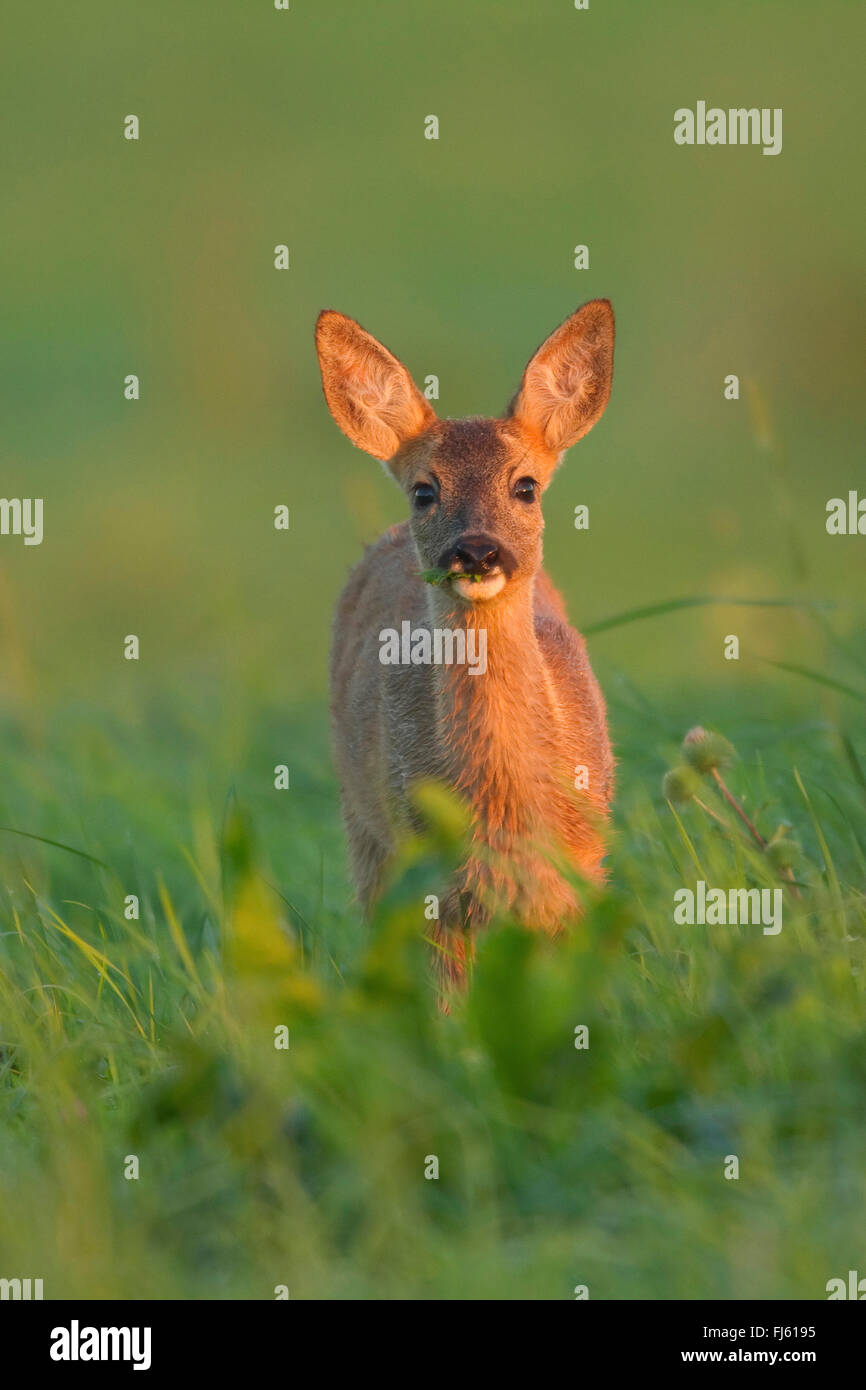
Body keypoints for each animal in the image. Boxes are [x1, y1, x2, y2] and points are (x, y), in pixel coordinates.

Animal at [316, 300, 615, 988]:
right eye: (425, 490)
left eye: (526, 485)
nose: (477, 551)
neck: (503, 808)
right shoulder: (431, 884)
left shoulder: (581, 871)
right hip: (364, 831)